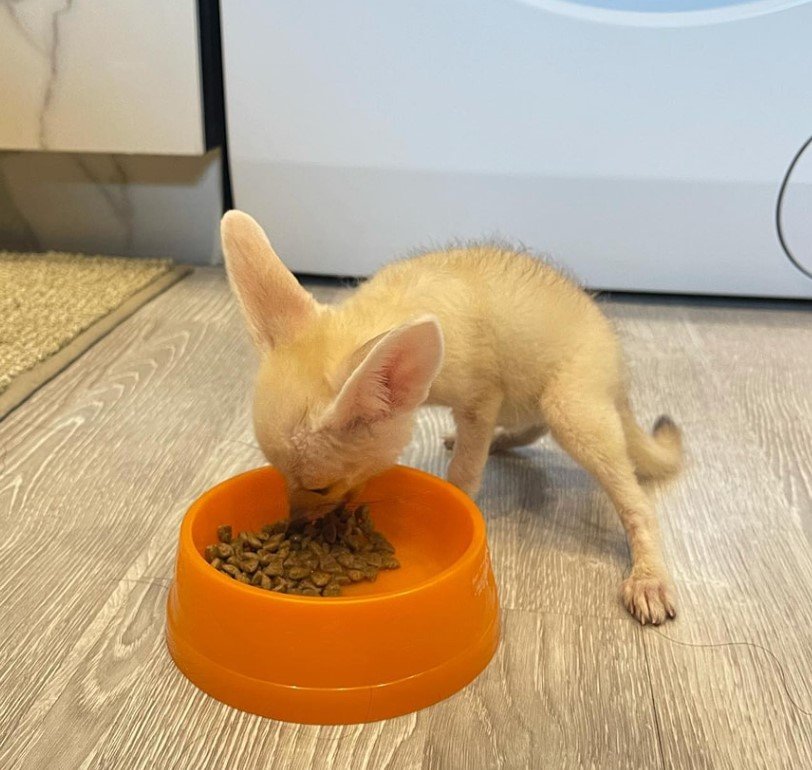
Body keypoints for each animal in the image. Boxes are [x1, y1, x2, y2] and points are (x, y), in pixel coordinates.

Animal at [221, 210, 683, 625]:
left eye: (321, 487)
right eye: (278, 474)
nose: (294, 528)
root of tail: (619, 370)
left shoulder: (481, 400)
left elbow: (464, 471)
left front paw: (458, 500)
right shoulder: (484, 404)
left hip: (570, 408)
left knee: (637, 502)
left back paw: (649, 576)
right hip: (541, 400)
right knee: (532, 427)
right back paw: (502, 441)